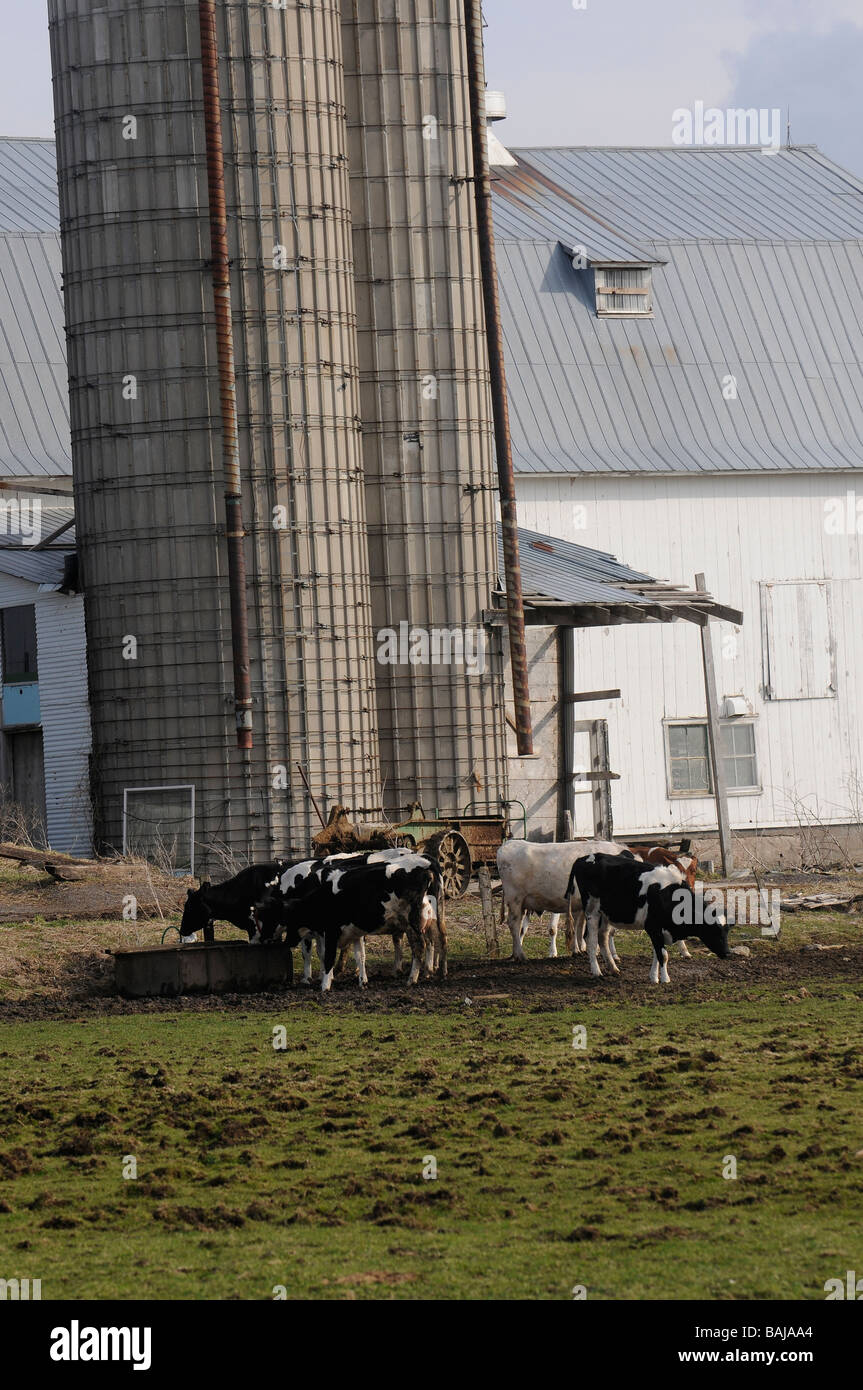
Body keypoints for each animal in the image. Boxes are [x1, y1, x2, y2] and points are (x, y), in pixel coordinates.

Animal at [252, 850, 446, 992]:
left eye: (267, 917)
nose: (260, 940)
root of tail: (426, 864)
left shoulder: (327, 931)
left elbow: (323, 955)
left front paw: (320, 983)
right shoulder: (351, 932)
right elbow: (358, 956)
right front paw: (360, 980)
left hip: (412, 923)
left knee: (420, 946)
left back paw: (412, 978)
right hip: (433, 917)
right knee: (439, 939)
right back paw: (437, 972)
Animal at [497, 839, 635, 961]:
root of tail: (508, 844)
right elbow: (607, 931)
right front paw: (610, 955)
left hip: (522, 904)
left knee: (518, 925)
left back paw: (515, 954)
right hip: (515, 899)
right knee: (514, 924)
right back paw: (520, 955)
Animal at [565, 852, 731, 983]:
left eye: (726, 932)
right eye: (714, 931)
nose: (728, 953)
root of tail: (585, 857)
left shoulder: (658, 931)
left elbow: (657, 954)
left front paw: (654, 977)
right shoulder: (653, 927)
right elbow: (663, 955)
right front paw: (665, 979)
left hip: (606, 914)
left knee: (603, 938)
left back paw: (613, 968)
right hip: (592, 911)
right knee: (591, 940)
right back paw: (596, 971)